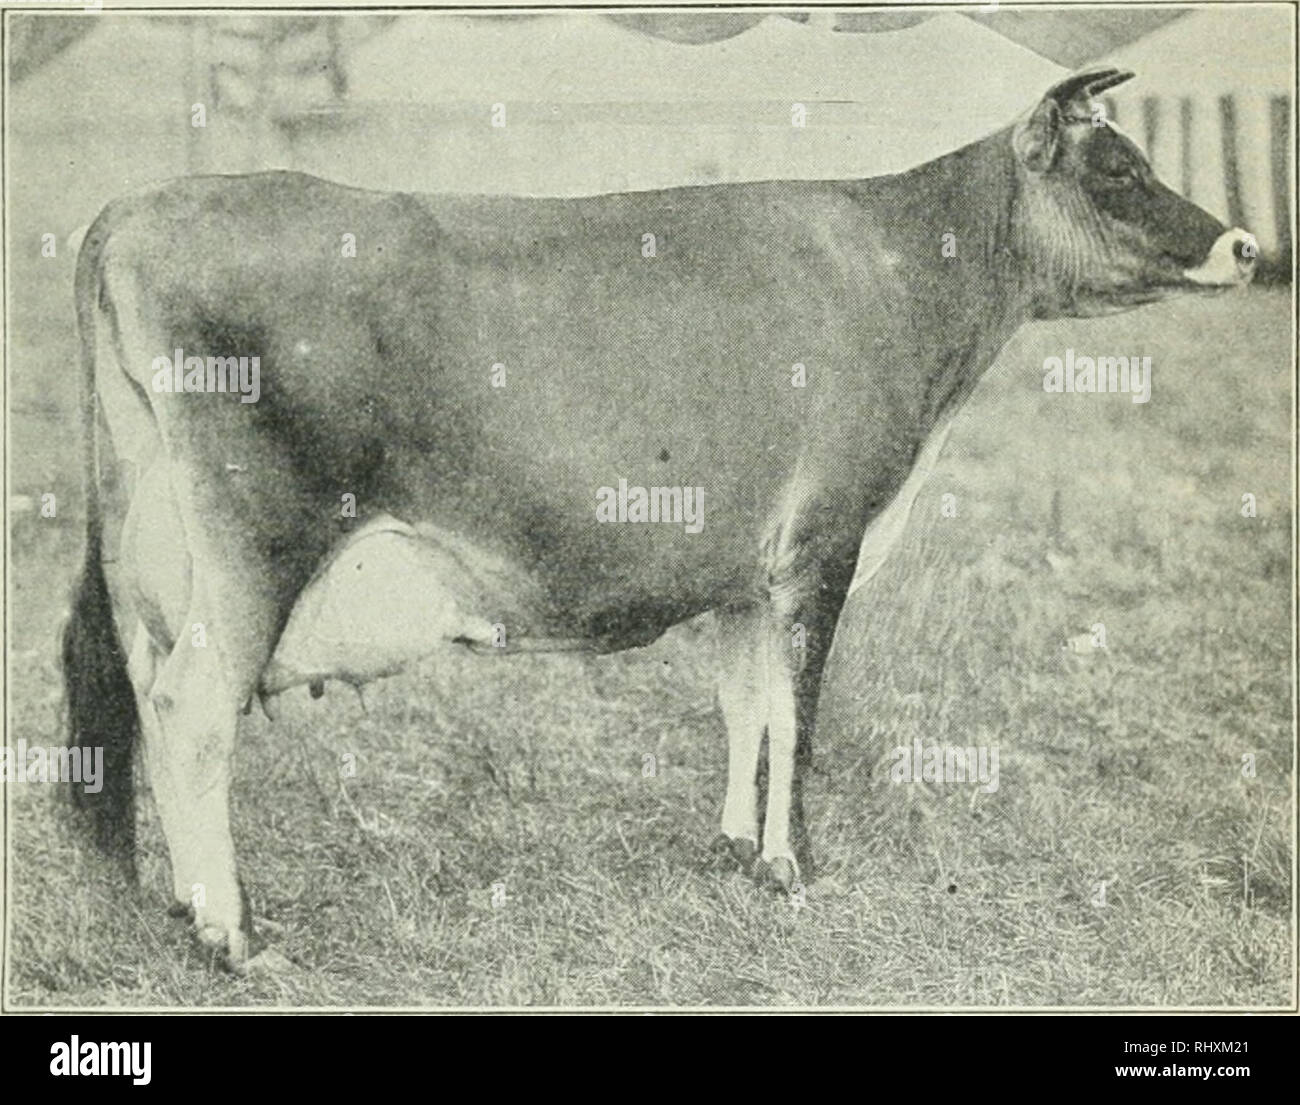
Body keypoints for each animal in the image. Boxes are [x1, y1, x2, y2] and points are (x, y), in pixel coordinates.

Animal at [62, 68, 1255, 970]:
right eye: (1119, 172)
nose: (1244, 246)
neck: (907, 273)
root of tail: (131, 209)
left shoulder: (745, 568)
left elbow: (747, 706)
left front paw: (730, 845)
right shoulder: (823, 542)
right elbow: (799, 712)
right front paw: (791, 865)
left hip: (146, 545)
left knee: (143, 691)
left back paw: (181, 902)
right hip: (253, 546)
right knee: (193, 710)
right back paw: (232, 934)